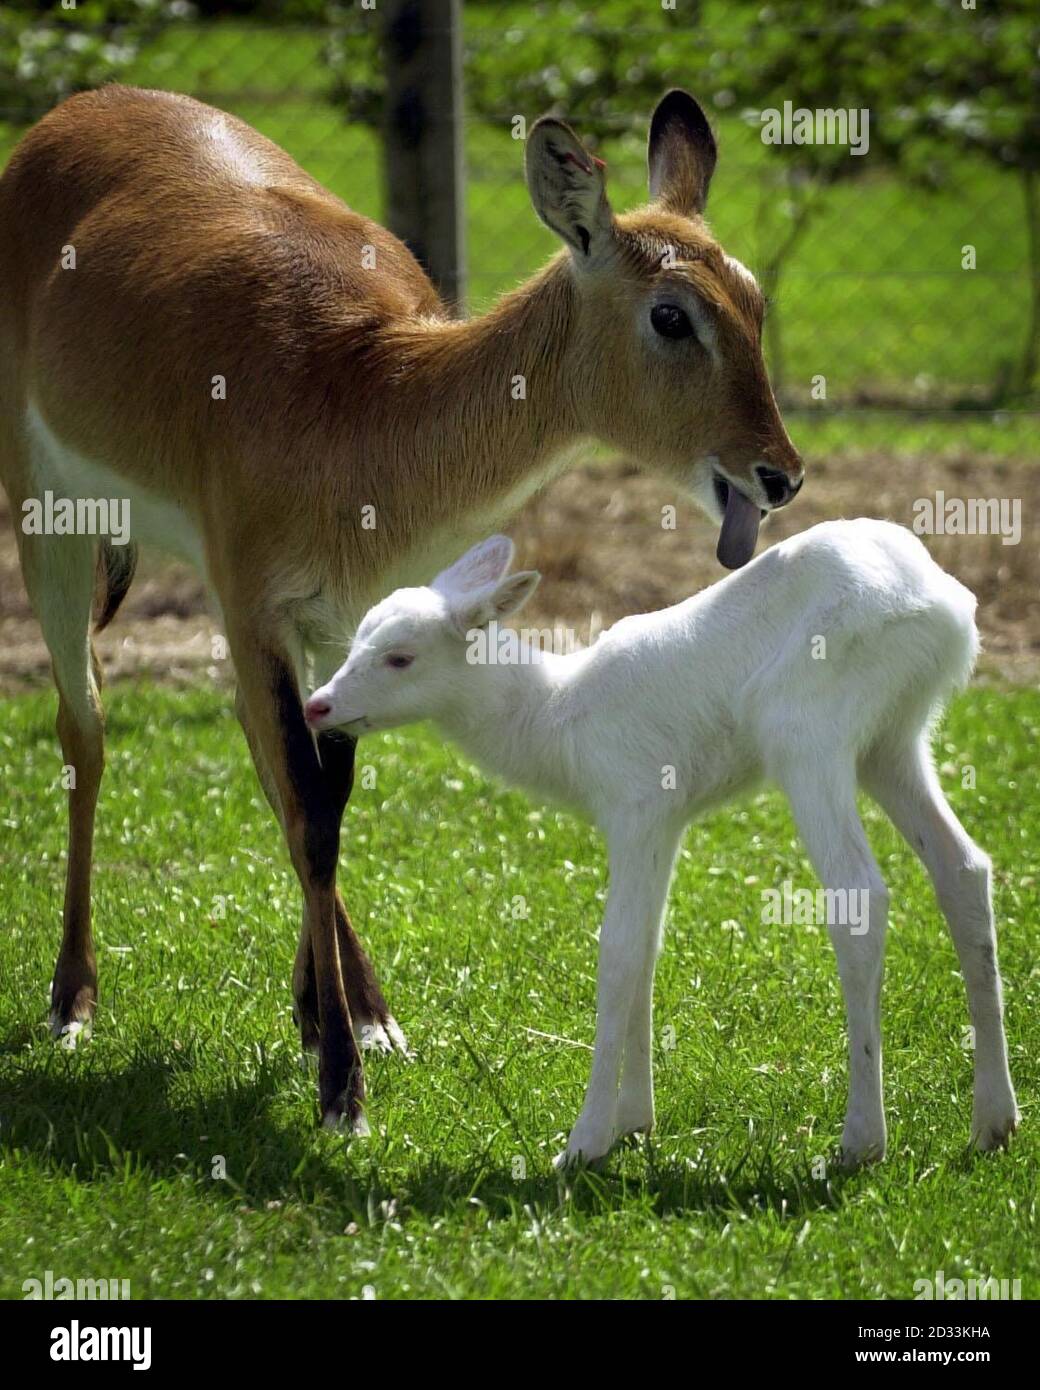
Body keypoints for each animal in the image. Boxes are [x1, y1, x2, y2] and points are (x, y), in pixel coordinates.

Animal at [0, 84, 803, 1132]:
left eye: (753, 300)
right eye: (673, 315)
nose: (780, 473)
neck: (359, 395)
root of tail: (79, 107)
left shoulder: (342, 621)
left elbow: (322, 798)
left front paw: (355, 1026)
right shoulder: (252, 602)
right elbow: (311, 811)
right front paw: (343, 1085)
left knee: (258, 752)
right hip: (46, 513)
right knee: (86, 727)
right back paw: (73, 1000)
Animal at [305, 526, 1019, 1170]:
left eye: (401, 657)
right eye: (359, 635)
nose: (318, 706)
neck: (558, 716)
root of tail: (944, 604)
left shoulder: (636, 807)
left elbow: (618, 951)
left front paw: (585, 1142)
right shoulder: (668, 820)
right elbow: (648, 945)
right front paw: (634, 1121)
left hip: (807, 731)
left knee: (859, 895)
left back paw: (862, 1142)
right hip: (892, 740)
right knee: (963, 867)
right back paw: (994, 1123)